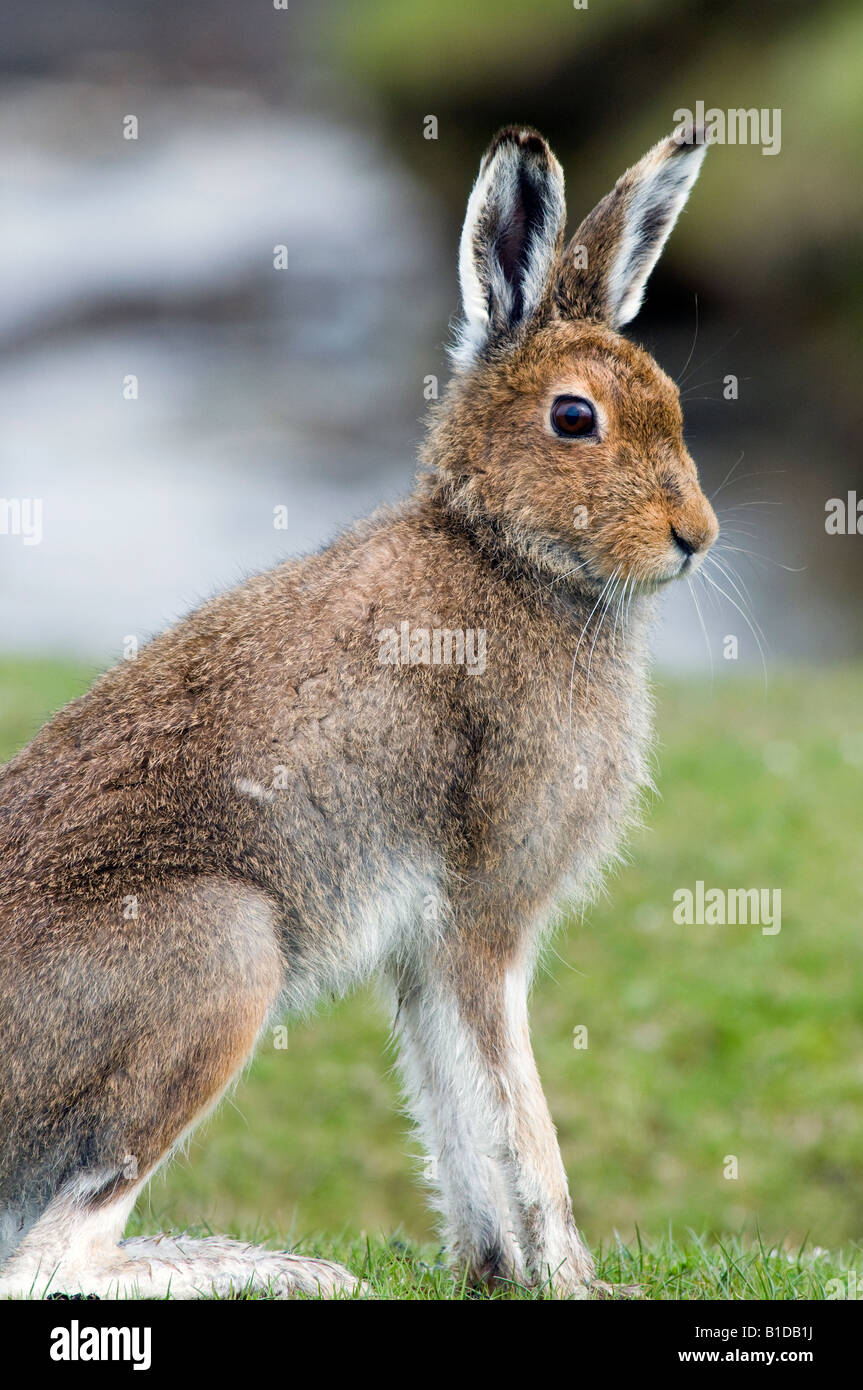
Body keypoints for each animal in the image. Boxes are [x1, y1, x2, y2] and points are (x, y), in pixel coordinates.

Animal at [0, 121, 717, 1300]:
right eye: (574, 418)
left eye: (673, 403)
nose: (693, 536)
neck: (502, 553)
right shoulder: (483, 919)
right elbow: (519, 1116)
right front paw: (572, 1279)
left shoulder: (428, 952)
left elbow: (457, 1112)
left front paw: (492, 1270)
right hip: (220, 951)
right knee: (55, 1255)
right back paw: (285, 1270)